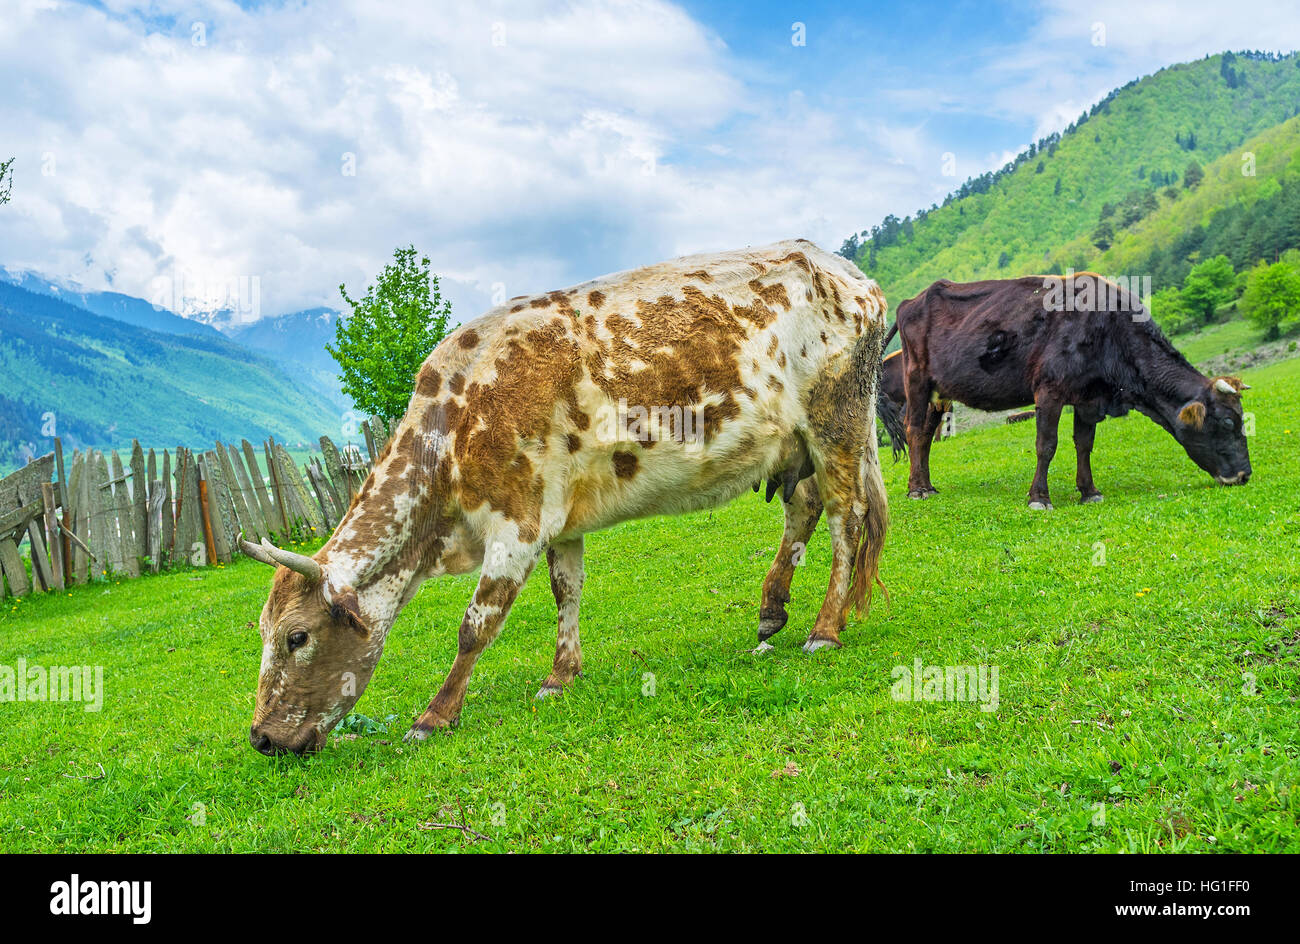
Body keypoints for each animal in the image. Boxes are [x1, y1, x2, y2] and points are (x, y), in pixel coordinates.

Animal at [241, 239, 891, 755]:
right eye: (263, 632)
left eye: (297, 637)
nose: (262, 738)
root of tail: (843, 269)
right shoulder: (561, 518)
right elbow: (567, 590)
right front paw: (561, 675)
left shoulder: (518, 520)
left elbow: (476, 624)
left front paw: (435, 714)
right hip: (795, 445)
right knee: (805, 509)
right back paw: (772, 609)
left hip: (838, 422)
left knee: (847, 519)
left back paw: (824, 628)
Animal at [892, 274, 1252, 508]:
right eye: (1227, 423)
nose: (1244, 475)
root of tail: (913, 300)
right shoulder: (1049, 390)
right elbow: (1046, 445)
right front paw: (1039, 497)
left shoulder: (1089, 397)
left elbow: (1084, 444)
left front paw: (1089, 491)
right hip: (917, 379)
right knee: (914, 430)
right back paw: (916, 490)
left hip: (940, 393)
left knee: (926, 436)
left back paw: (927, 485)